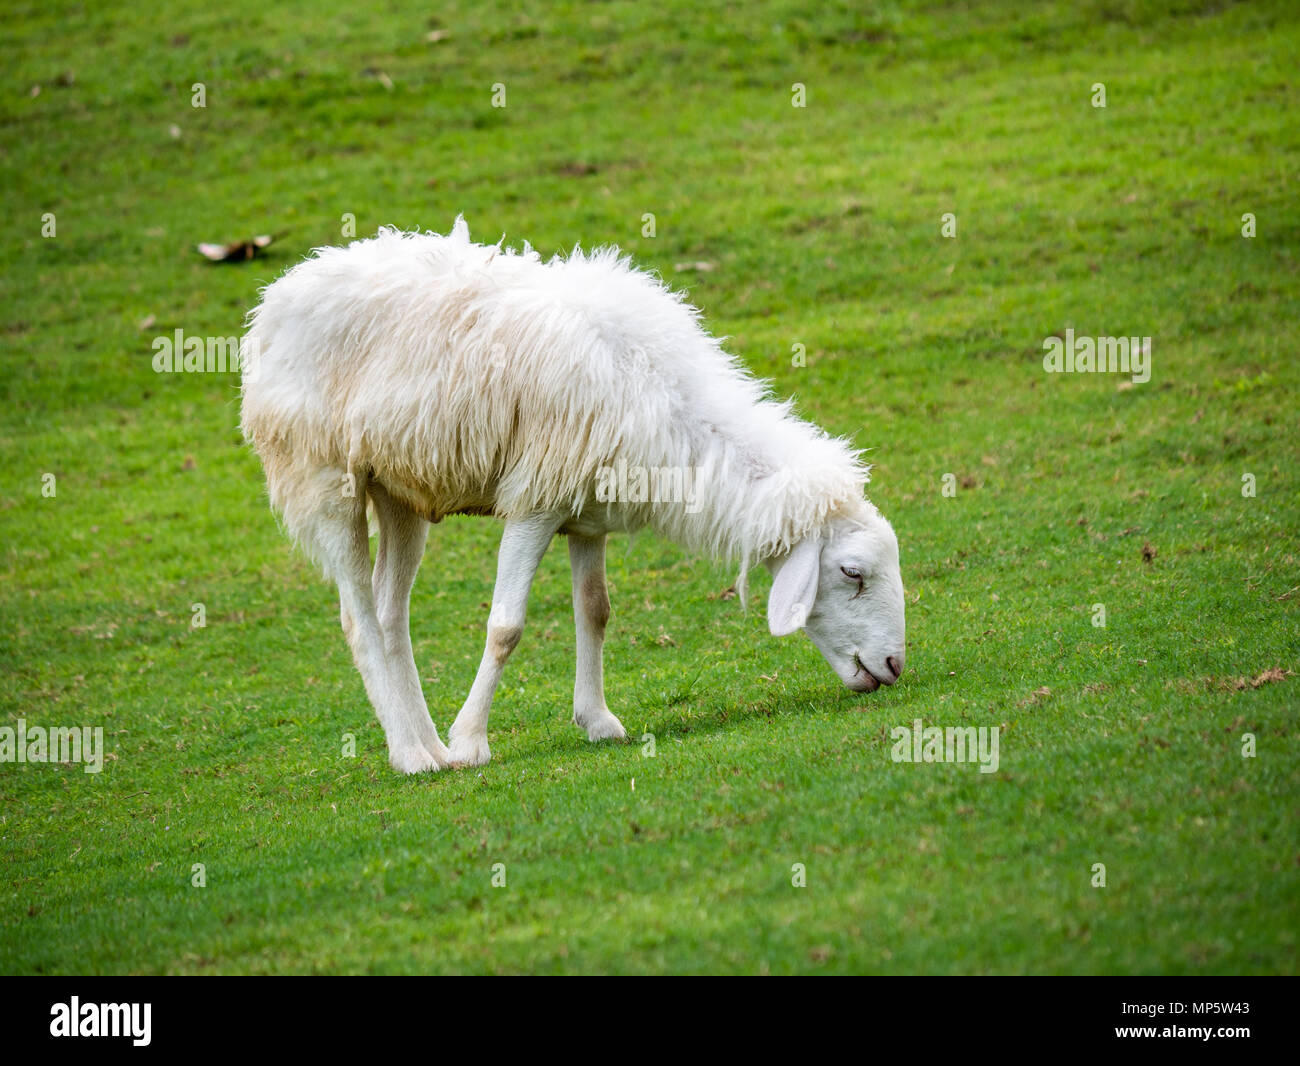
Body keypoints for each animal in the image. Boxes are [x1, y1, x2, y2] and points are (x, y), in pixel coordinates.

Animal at [240, 220, 906, 773]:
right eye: (852, 574)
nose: (895, 667)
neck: (675, 409)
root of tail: (279, 296)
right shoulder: (536, 497)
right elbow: (506, 627)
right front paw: (471, 741)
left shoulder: (588, 515)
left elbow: (596, 610)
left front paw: (597, 721)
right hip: (324, 476)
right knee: (358, 618)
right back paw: (413, 754)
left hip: (401, 490)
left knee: (388, 612)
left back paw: (425, 744)